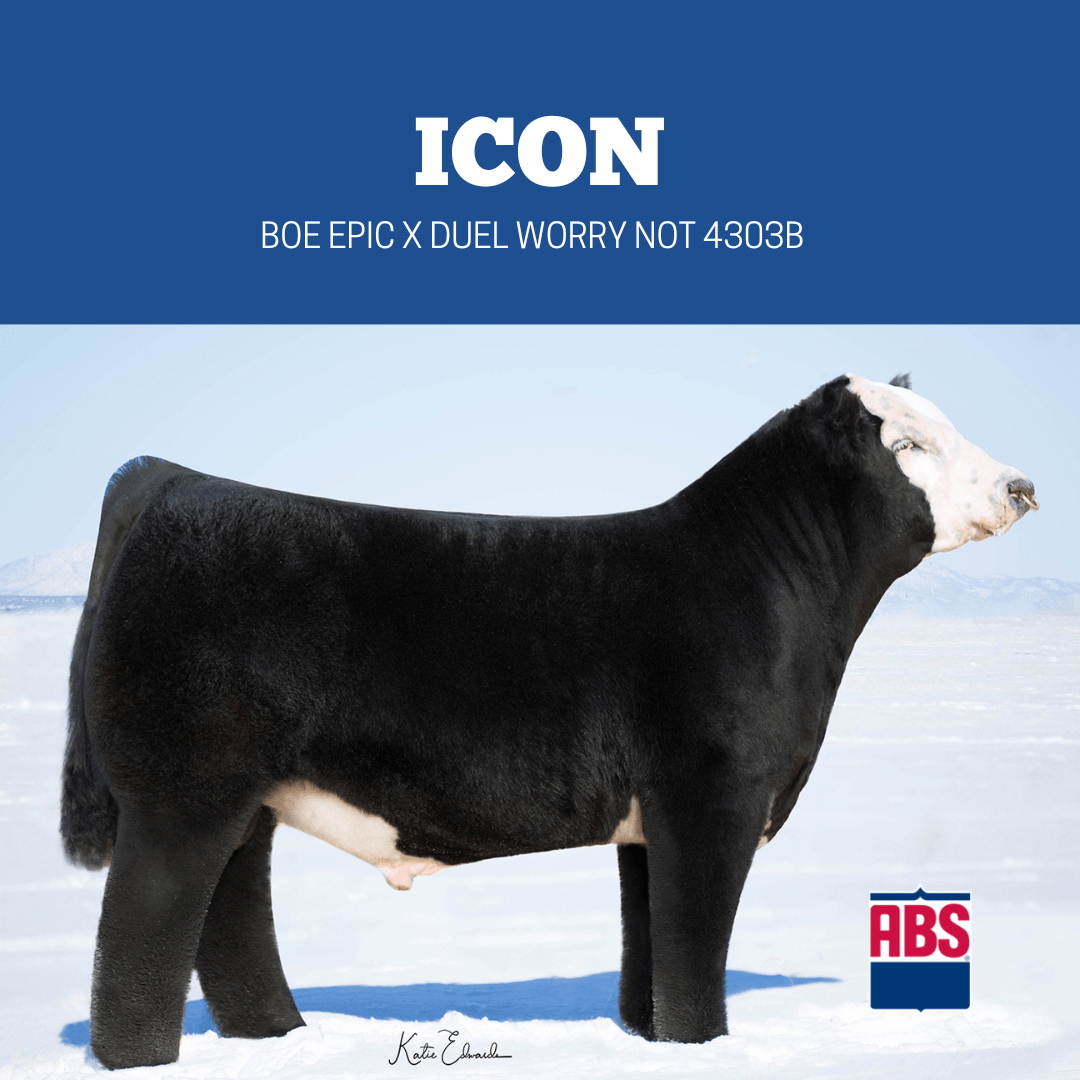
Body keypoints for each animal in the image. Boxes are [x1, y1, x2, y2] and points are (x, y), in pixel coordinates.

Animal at [61, 374, 1038, 1069]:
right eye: (907, 443)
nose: (1022, 486)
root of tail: (175, 481)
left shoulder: (652, 821)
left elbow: (651, 949)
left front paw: (650, 1041)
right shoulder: (711, 796)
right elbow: (694, 946)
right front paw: (703, 1047)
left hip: (245, 793)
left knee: (231, 908)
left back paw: (284, 1040)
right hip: (181, 789)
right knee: (144, 924)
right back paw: (147, 1059)